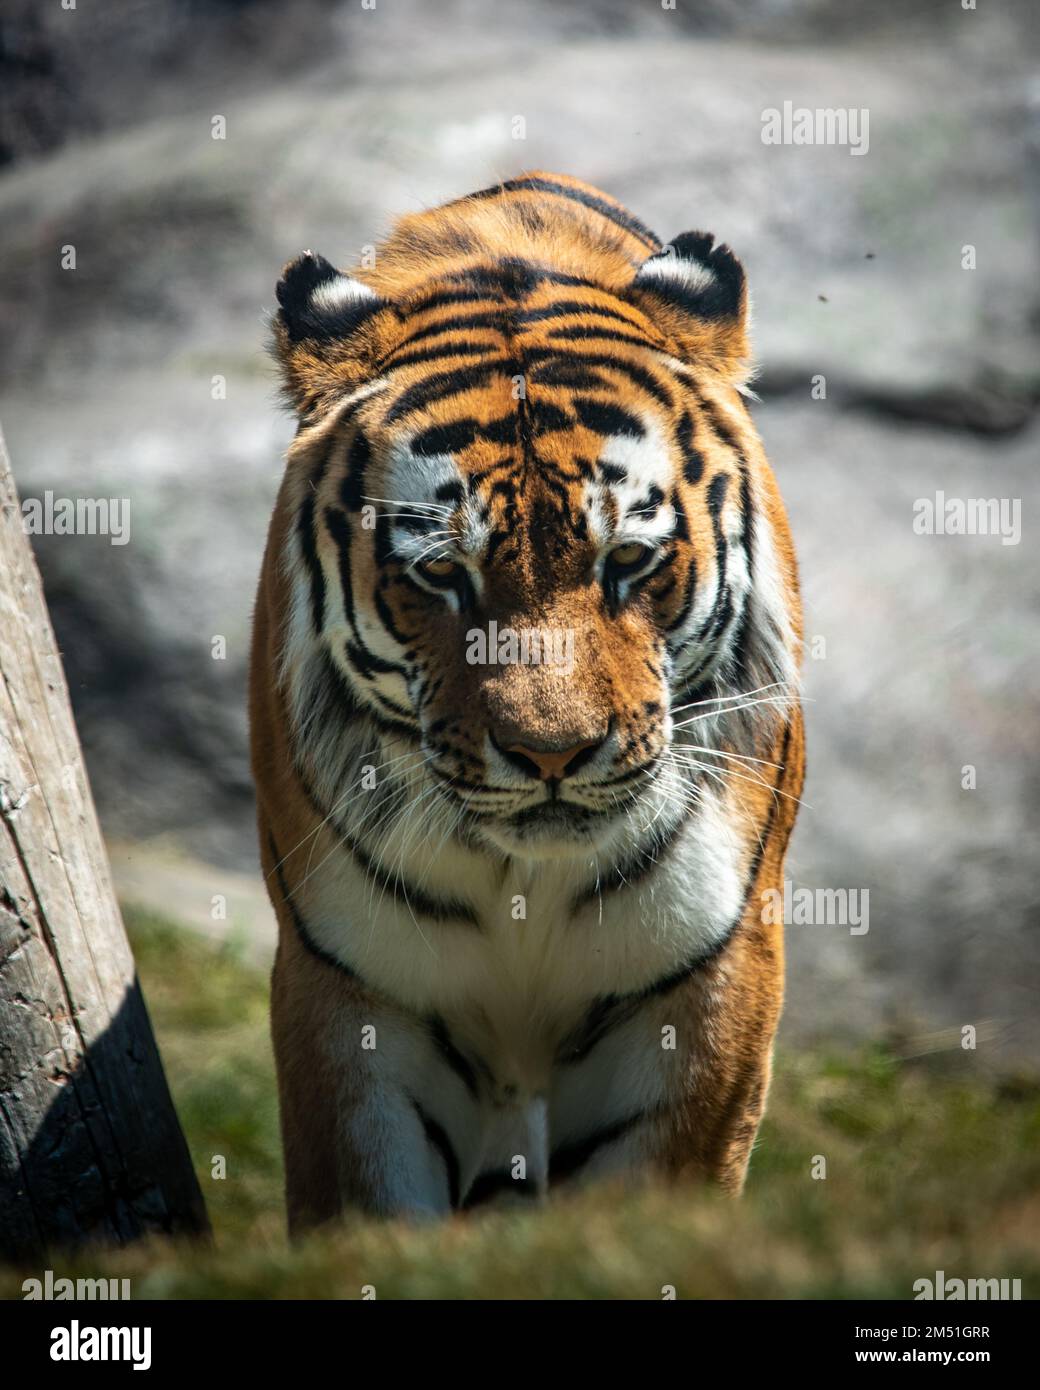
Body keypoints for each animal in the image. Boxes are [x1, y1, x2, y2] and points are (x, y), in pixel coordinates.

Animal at [249, 171, 805, 1233]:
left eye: (627, 560)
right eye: (442, 574)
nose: (553, 755)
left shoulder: (704, 979)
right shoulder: (353, 987)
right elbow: (371, 1196)